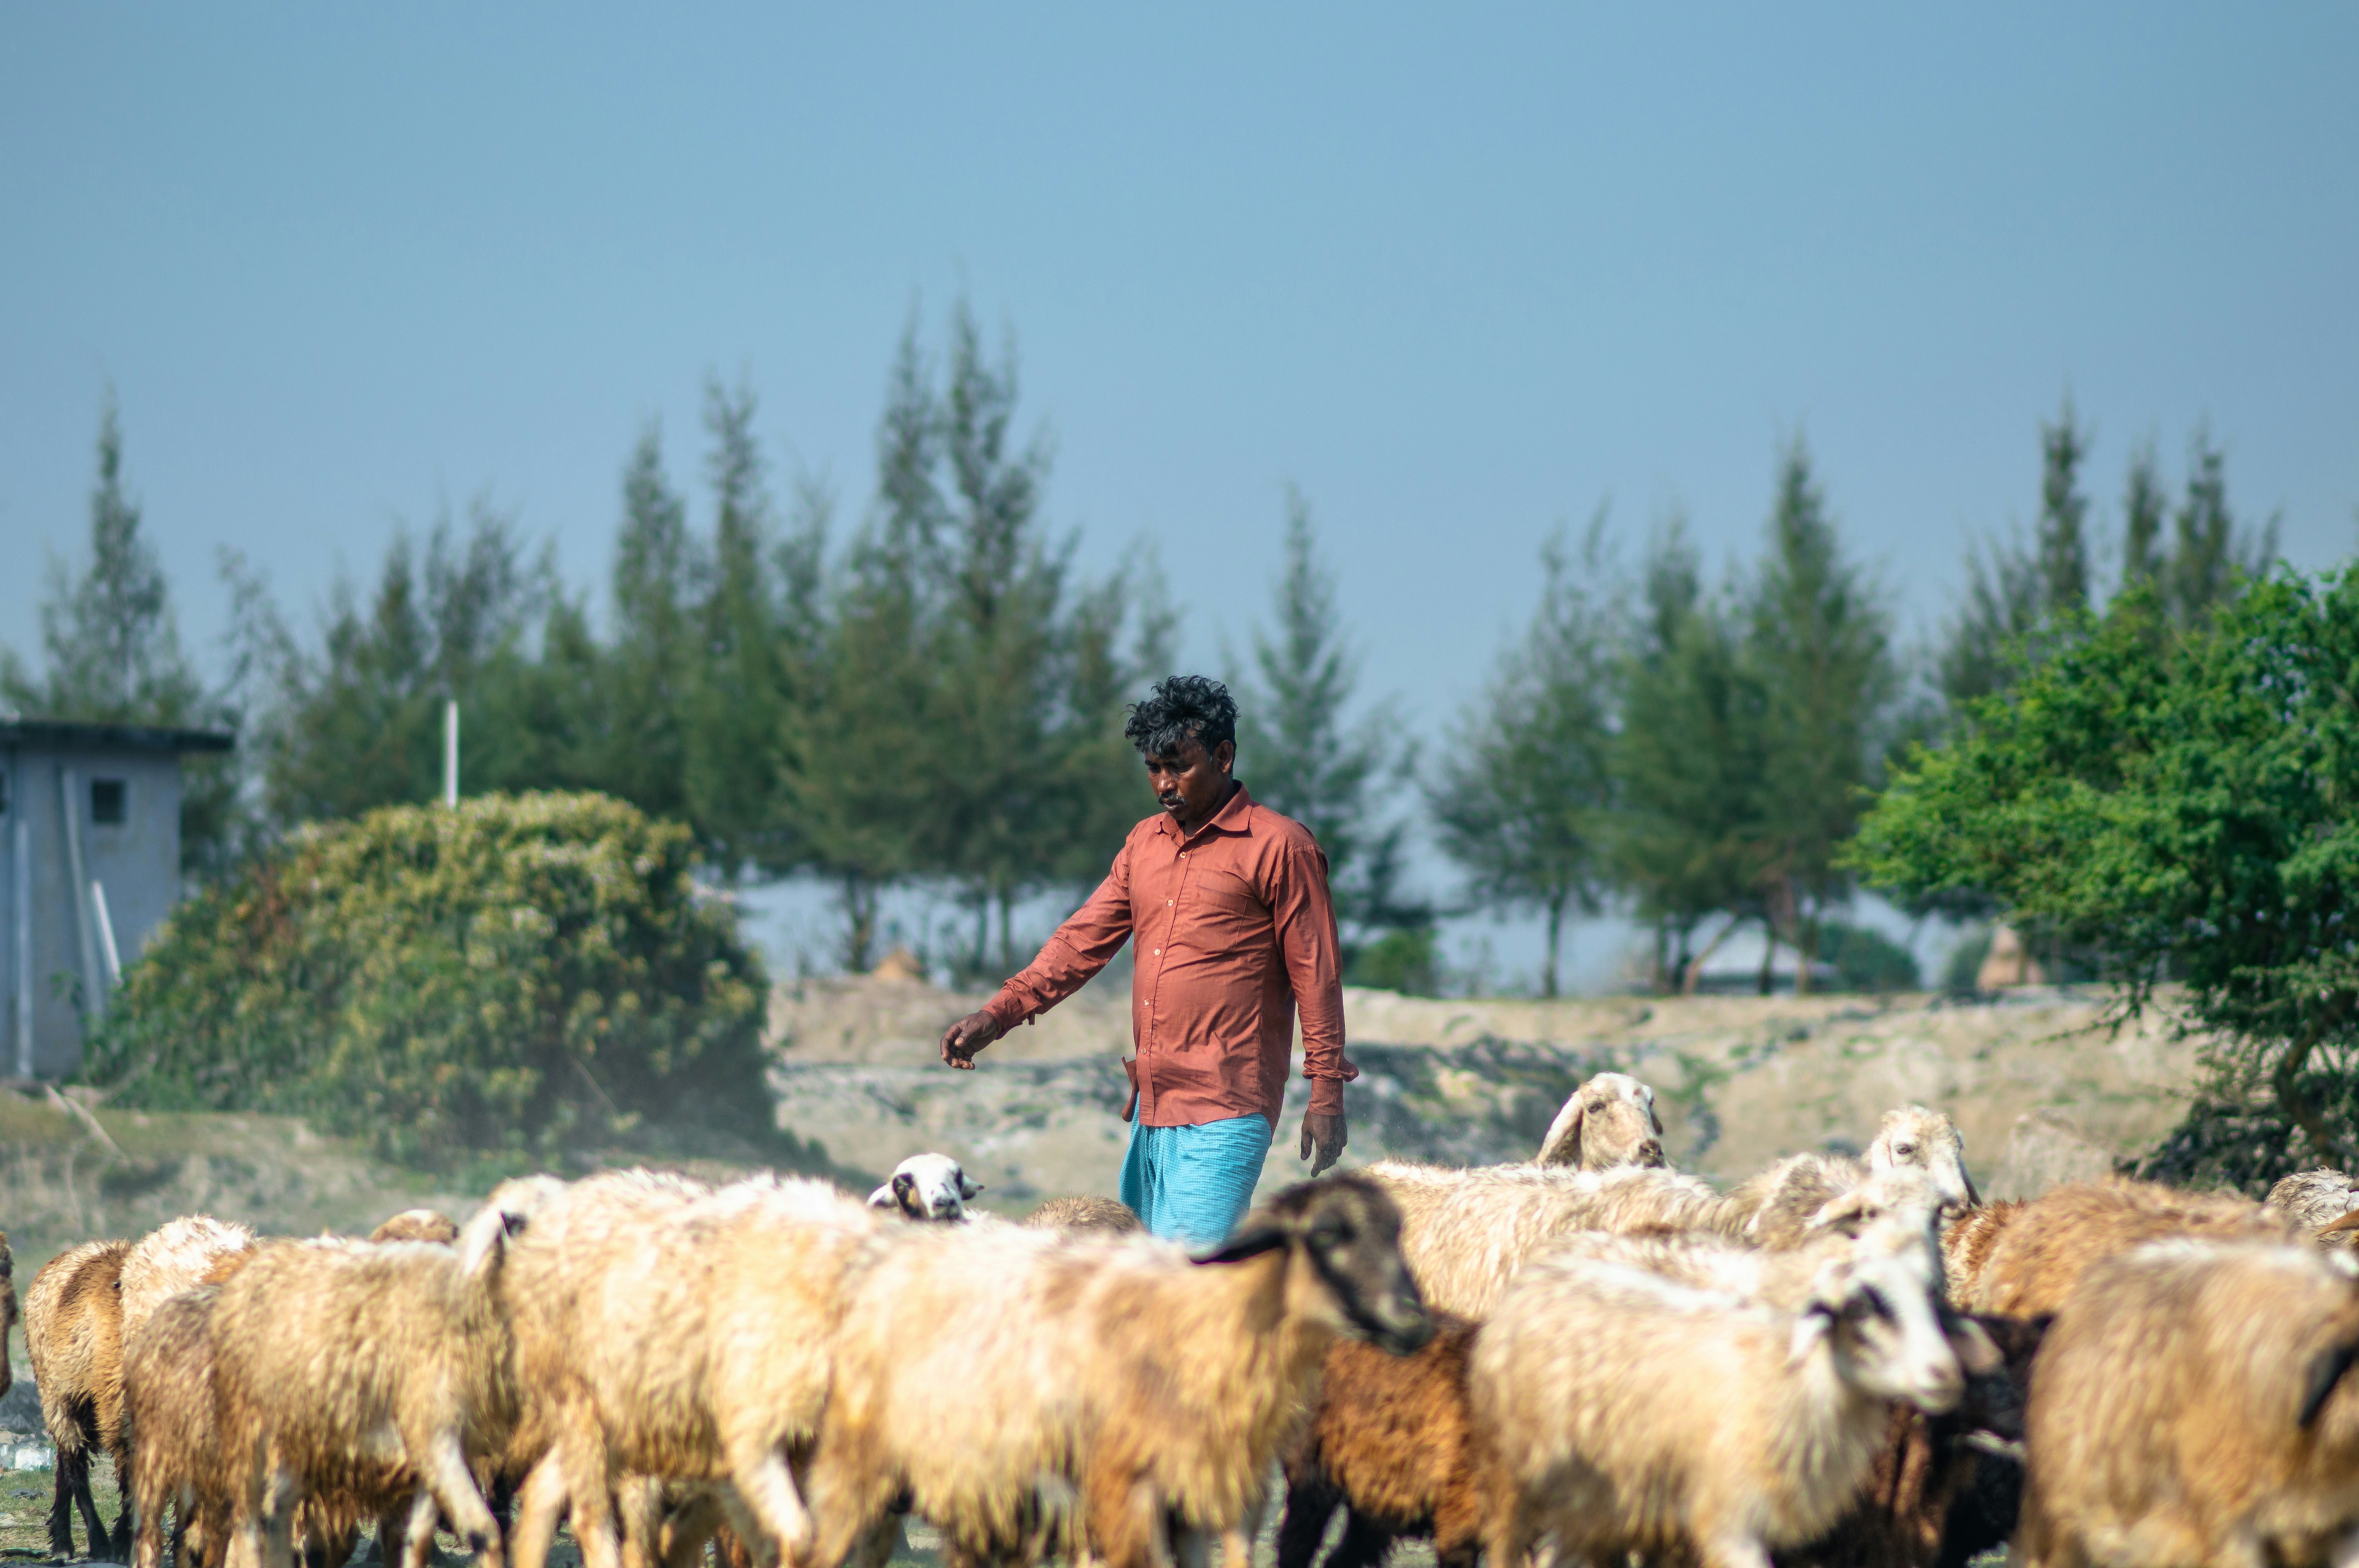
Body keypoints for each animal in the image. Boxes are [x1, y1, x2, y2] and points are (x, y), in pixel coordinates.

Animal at [26, 1237, 132, 1559]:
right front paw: (121, 1542)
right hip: (57, 1397)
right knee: (75, 1468)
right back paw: (94, 1543)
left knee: (64, 1464)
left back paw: (63, 1540)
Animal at [211, 1185, 561, 1568]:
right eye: (523, 1224)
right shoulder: (435, 1435)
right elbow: (482, 1530)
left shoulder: (440, 1447)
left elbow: (417, 1536)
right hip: (249, 1424)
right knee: (247, 1517)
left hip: (303, 1431)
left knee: (277, 1510)